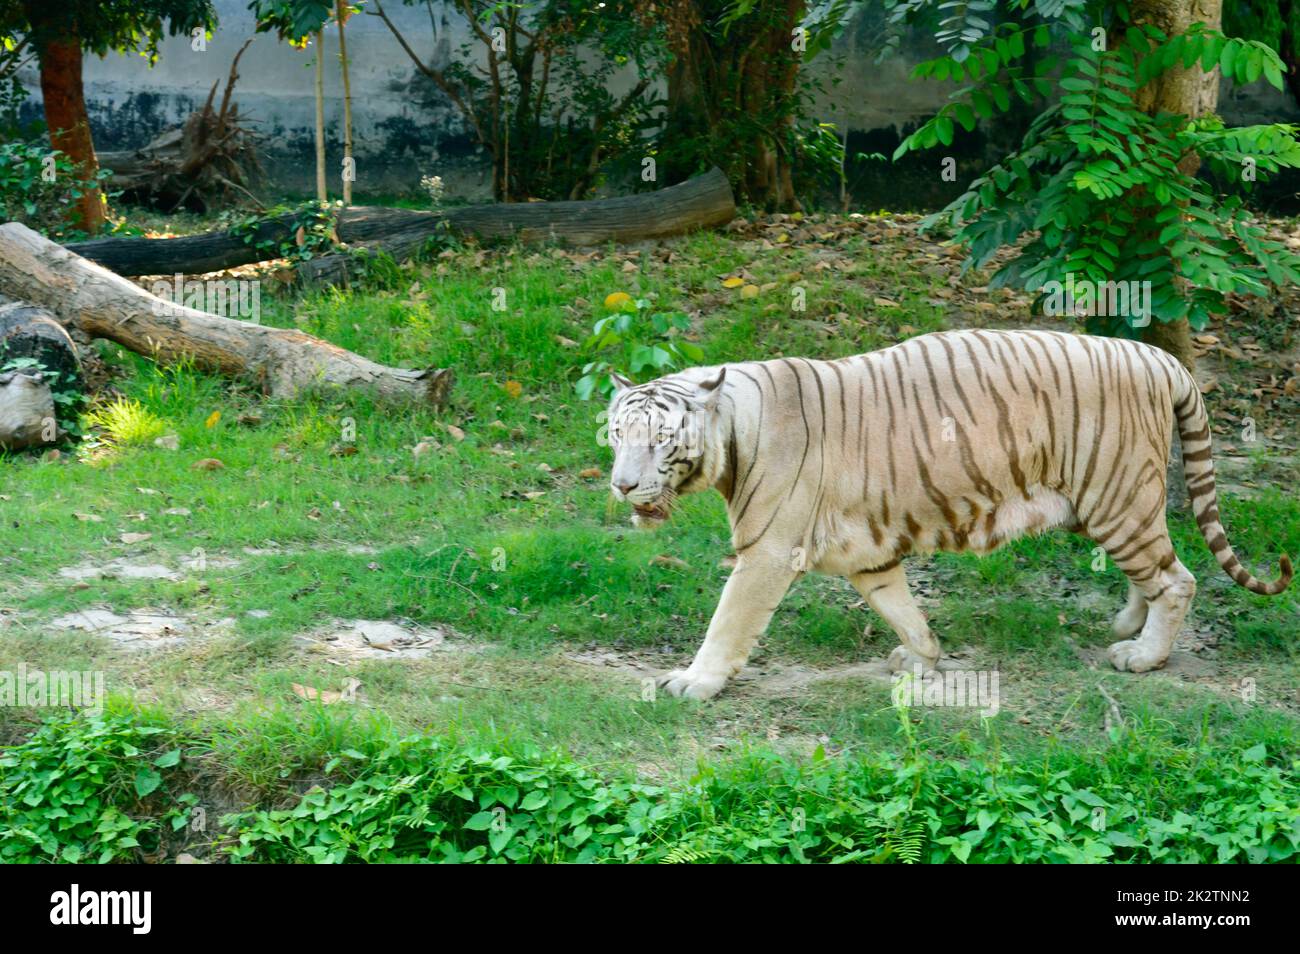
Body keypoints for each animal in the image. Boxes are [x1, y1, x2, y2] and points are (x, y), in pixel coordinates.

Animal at [605, 328, 1292, 700]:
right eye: (615, 435)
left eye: (661, 439)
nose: (621, 485)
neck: (733, 431)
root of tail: (1160, 357)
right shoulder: (869, 555)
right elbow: (900, 607)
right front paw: (922, 658)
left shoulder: (768, 552)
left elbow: (727, 622)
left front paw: (694, 683)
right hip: (1106, 506)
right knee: (1151, 571)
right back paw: (1127, 627)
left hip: (1117, 496)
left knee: (1177, 579)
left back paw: (1143, 657)